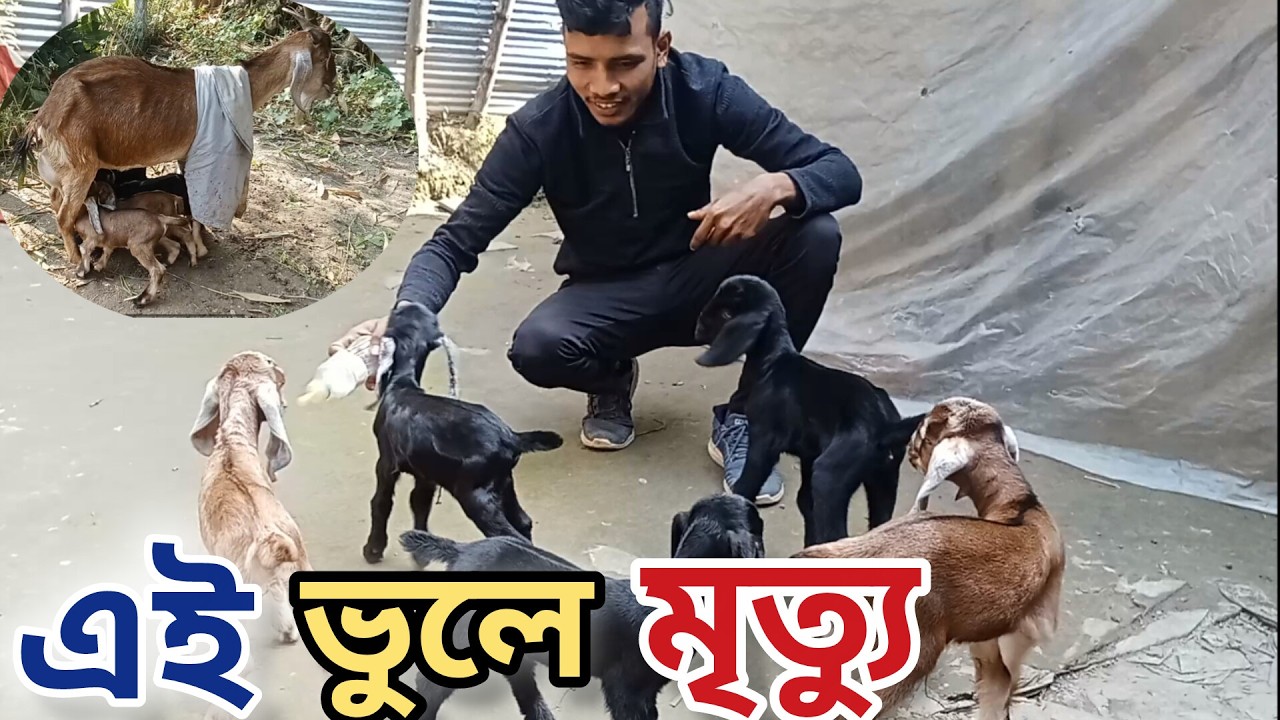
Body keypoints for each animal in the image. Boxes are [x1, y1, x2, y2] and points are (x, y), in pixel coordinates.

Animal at [16, 8, 335, 266]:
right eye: (325, 57)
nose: (331, 87)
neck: (245, 85)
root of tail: (42, 120)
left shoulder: (187, 156)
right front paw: (200, 250)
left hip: (63, 173)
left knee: (55, 200)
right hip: (81, 168)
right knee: (63, 215)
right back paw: (76, 260)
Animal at [363, 300, 562, 564]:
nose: (407, 302)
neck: (402, 383)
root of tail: (511, 438)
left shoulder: (386, 462)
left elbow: (381, 502)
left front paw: (373, 549)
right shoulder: (426, 473)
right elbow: (419, 503)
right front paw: (420, 554)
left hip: (475, 493)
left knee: (508, 534)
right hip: (504, 483)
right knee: (524, 522)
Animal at [693, 275, 925, 546]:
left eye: (727, 313)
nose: (697, 328)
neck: (773, 361)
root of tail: (885, 426)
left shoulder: (763, 442)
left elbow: (746, 486)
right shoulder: (809, 455)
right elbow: (805, 503)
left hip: (829, 476)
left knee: (834, 533)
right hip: (884, 480)